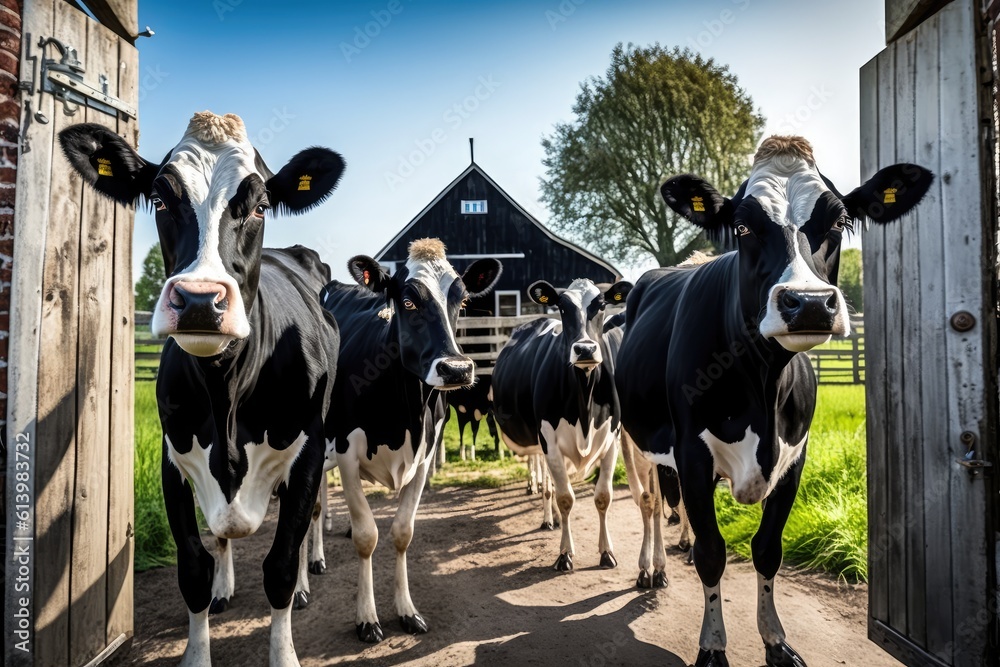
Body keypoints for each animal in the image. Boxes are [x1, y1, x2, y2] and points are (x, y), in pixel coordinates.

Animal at [59, 112, 346, 667]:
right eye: (160, 199)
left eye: (260, 205)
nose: (198, 300)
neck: (225, 391)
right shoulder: (174, 457)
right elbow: (193, 568)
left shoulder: (308, 449)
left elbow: (281, 563)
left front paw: (285, 641)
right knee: (223, 536)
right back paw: (226, 585)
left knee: (310, 522)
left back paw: (308, 576)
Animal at [320, 238, 500, 643]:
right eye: (408, 301)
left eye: (463, 300)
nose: (457, 369)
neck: (404, 414)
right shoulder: (346, 452)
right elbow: (366, 537)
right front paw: (367, 618)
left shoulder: (423, 457)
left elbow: (402, 533)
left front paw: (406, 610)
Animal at [492, 278, 632, 571]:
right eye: (562, 307)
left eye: (601, 305)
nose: (585, 349)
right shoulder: (549, 441)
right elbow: (565, 497)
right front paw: (565, 554)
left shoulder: (611, 439)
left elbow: (603, 496)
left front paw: (606, 552)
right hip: (539, 441)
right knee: (549, 485)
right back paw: (549, 517)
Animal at [615, 135, 932, 667]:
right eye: (743, 227)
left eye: (839, 222)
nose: (809, 303)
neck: (763, 382)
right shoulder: (692, 454)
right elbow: (713, 553)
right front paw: (712, 647)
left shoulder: (795, 457)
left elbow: (767, 549)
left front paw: (775, 641)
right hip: (638, 438)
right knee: (651, 502)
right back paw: (651, 566)